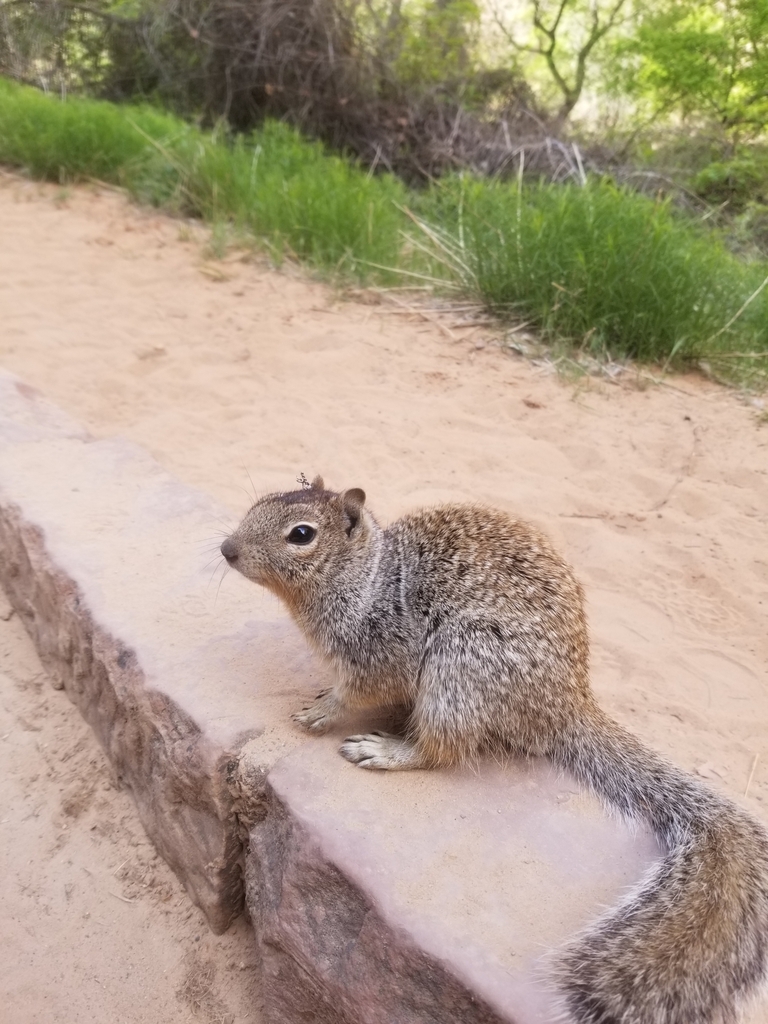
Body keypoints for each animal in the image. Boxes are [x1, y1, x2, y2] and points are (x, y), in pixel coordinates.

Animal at [221, 476, 768, 1024]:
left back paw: (387, 750)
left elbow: (356, 694)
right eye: (262, 500)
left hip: (458, 670)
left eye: (302, 534)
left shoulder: (378, 655)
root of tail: (567, 707)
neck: (365, 579)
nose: (227, 549)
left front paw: (323, 712)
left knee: (442, 750)